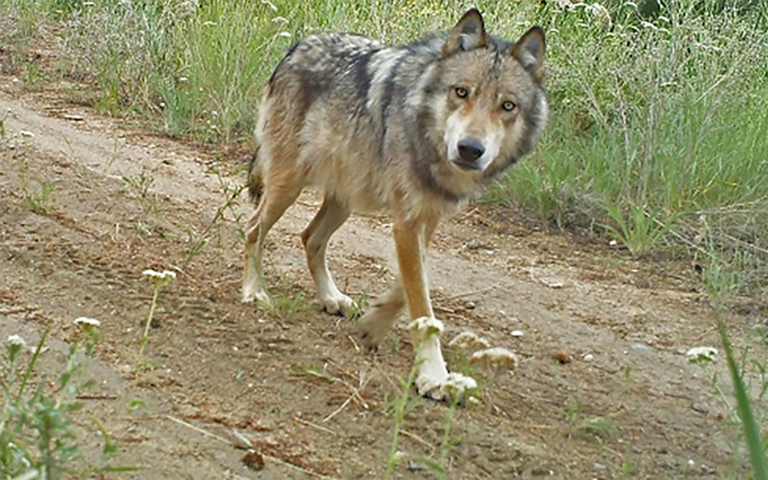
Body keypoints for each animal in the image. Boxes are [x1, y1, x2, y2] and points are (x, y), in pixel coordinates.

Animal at [243, 9, 548, 400]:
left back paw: (331, 297)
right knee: (254, 229)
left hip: (346, 197)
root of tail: (298, 45)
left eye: (507, 106)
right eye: (461, 92)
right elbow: (421, 303)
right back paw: (254, 291)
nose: (470, 149)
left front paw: (374, 323)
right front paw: (434, 377)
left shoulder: (426, 220)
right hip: (288, 186)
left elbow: (410, 287)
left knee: (310, 238)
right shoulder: (407, 222)